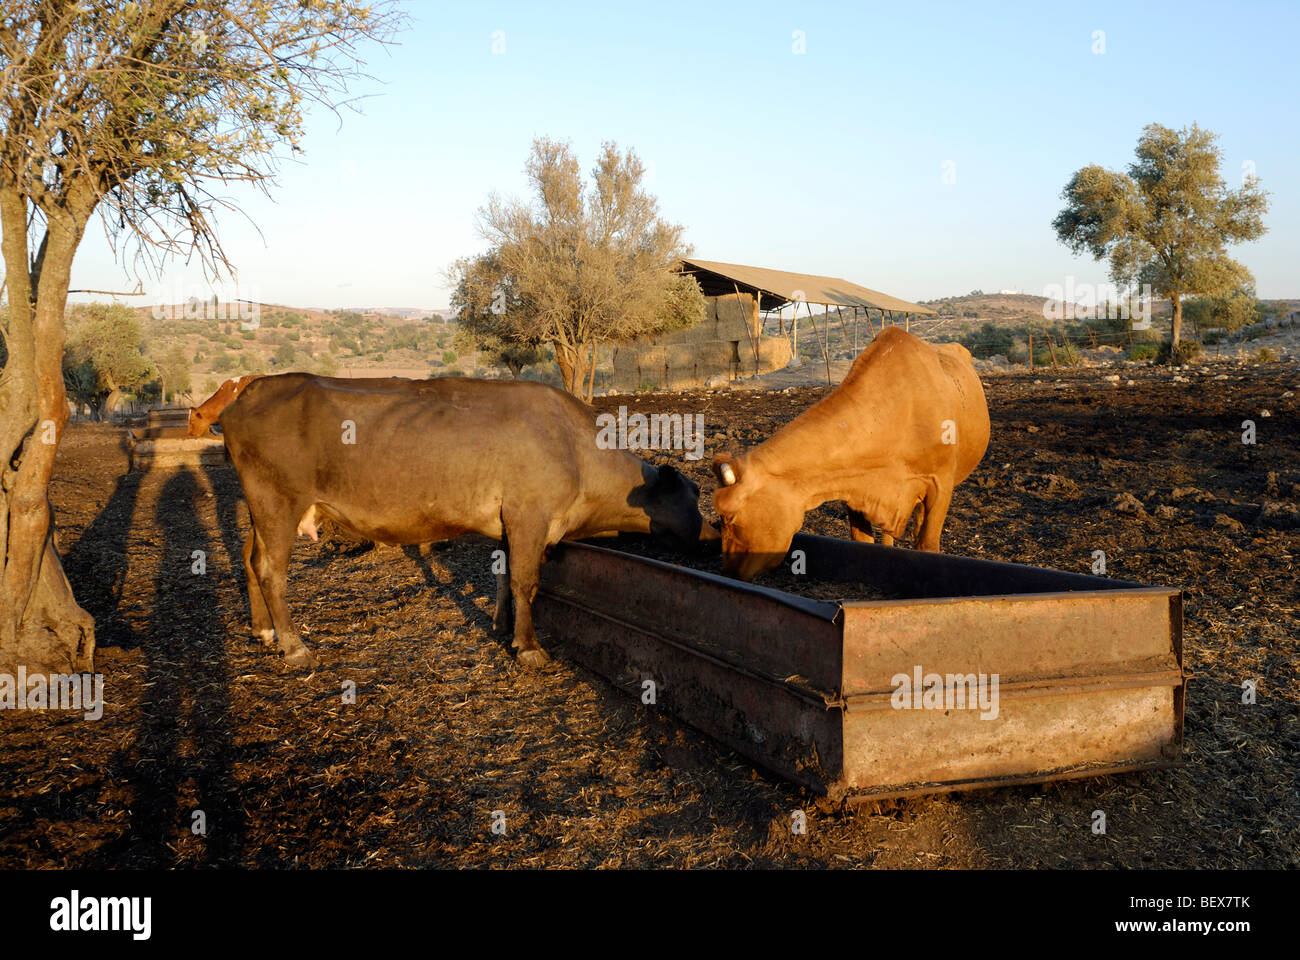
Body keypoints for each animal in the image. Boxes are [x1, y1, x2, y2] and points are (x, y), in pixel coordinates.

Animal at [219, 373, 705, 669]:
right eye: (694, 497)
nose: (708, 530)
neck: (578, 449)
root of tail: (252, 391)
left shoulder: (510, 522)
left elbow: (506, 578)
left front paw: (502, 627)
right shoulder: (530, 514)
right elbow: (526, 581)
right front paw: (529, 647)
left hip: (262, 509)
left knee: (248, 558)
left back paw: (264, 629)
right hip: (278, 501)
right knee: (271, 569)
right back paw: (294, 645)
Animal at [711, 326, 990, 581]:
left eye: (730, 517)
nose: (729, 572)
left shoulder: (940, 485)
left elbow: (928, 545)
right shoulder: (855, 490)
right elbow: (863, 543)